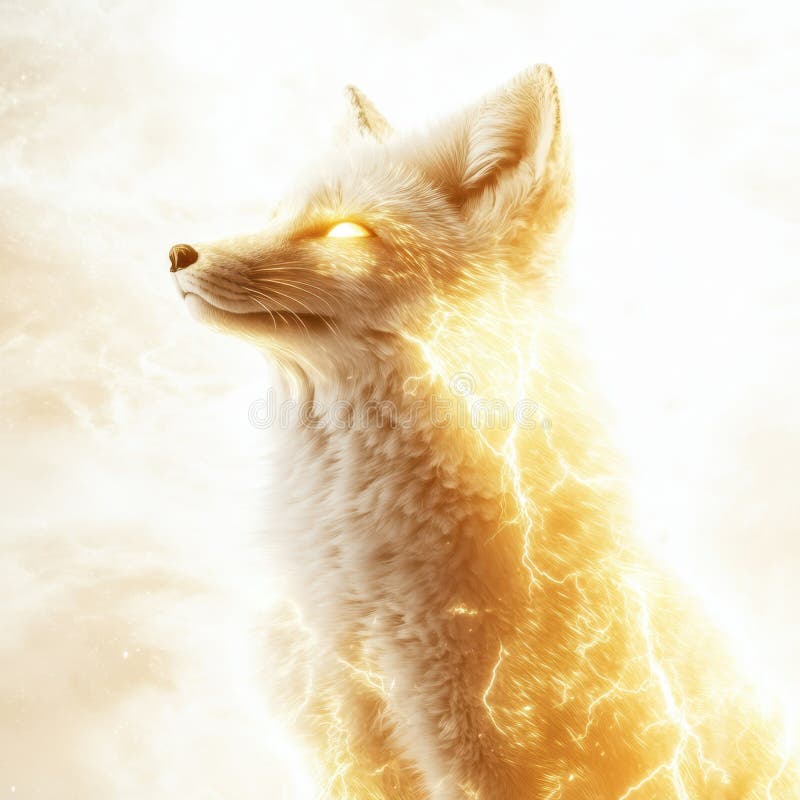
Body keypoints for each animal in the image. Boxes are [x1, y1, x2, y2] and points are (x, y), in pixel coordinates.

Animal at [170, 66, 798, 799]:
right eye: (275, 215)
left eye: (347, 232)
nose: (178, 253)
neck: (343, 581)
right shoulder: (349, 743)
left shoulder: (498, 753)